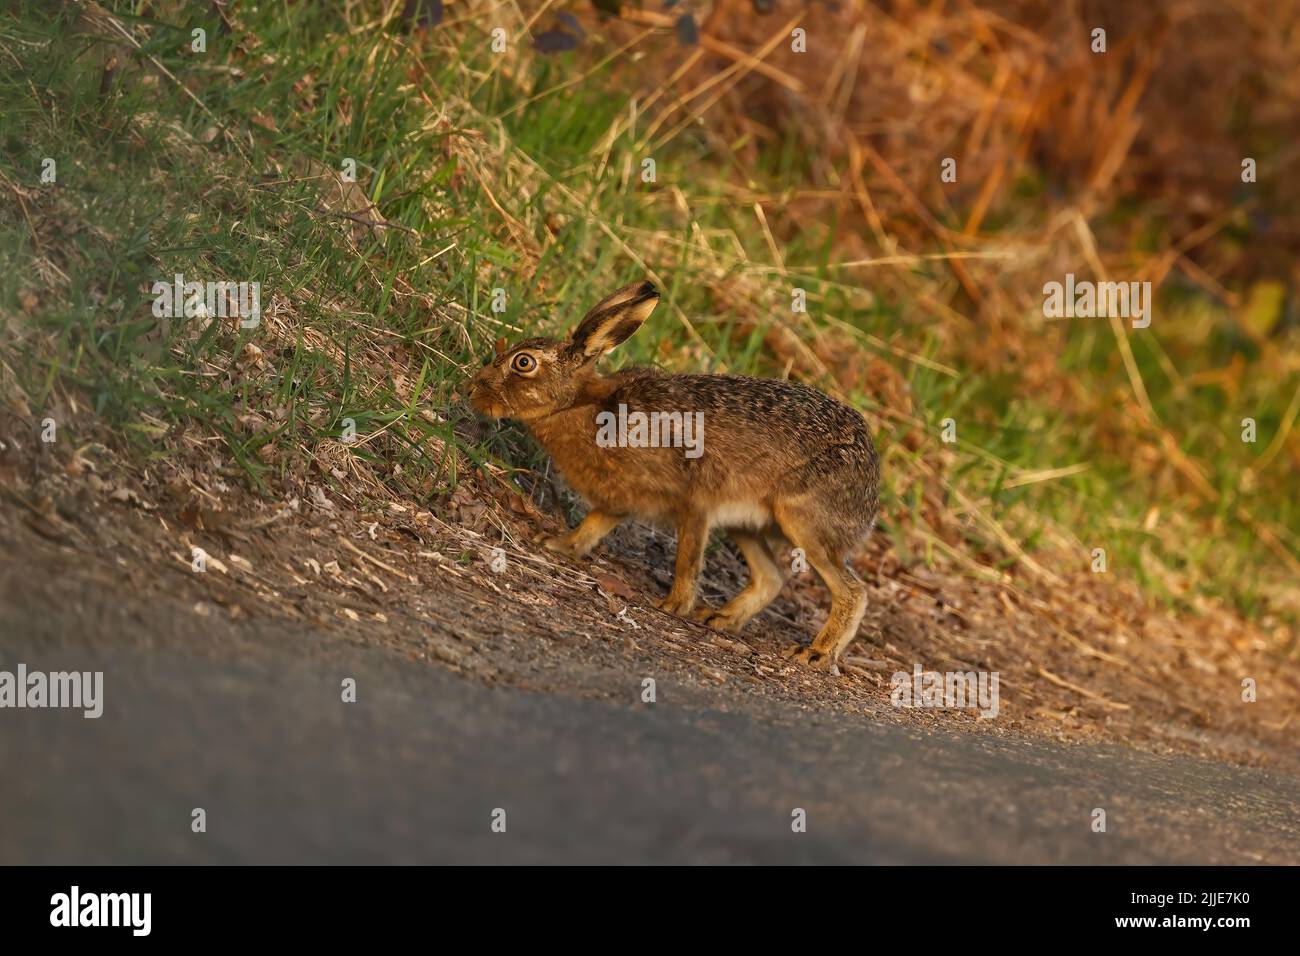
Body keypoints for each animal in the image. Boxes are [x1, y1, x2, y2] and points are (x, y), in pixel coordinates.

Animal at [465, 280, 880, 670]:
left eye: (523, 363)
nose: (472, 391)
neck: (583, 405)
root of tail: (871, 490)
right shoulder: (622, 496)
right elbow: (595, 524)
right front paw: (559, 544)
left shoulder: (694, 501)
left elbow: (687, 559)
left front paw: (672, 605)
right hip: (747, 523)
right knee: (771, 577)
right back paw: (720, 618)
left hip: (801, 520)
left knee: (852, 591)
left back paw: (816, 652)